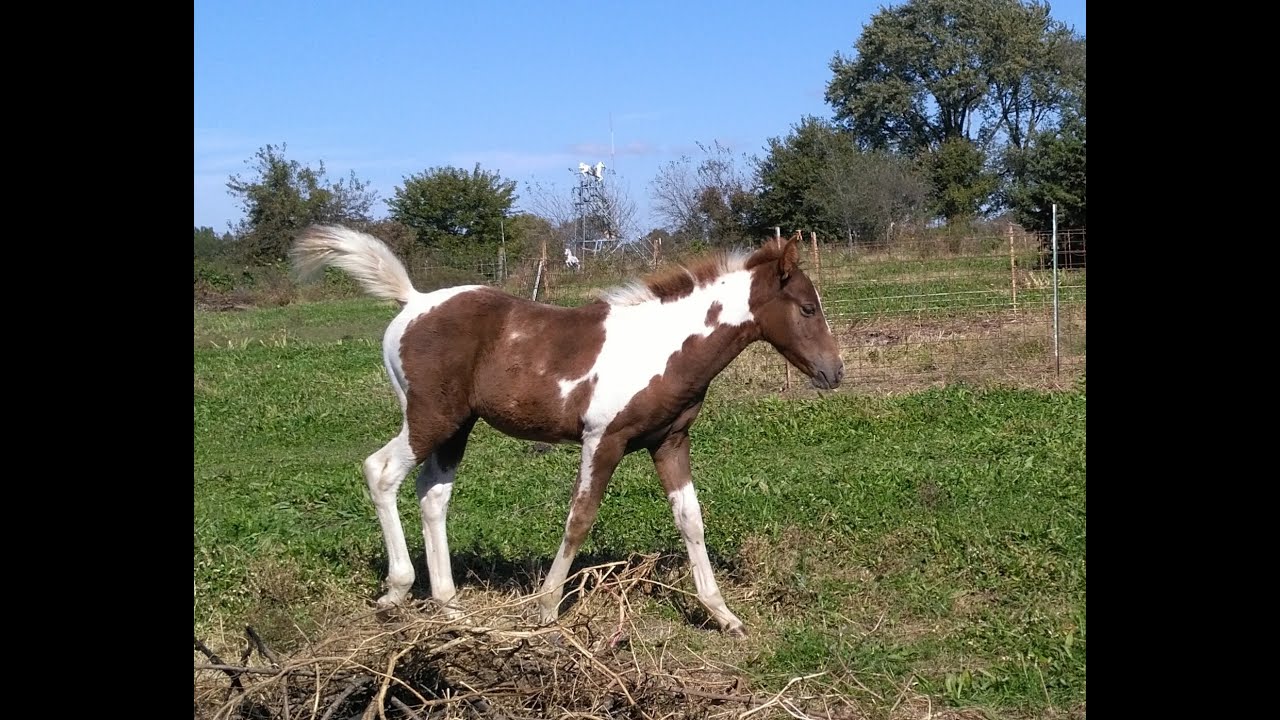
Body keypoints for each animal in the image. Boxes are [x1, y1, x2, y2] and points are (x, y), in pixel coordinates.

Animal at [290, 225, 844, 636]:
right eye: (808, 308)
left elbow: (691, 520)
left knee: (432, 494)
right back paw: (396, 590)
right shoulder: (604, 440)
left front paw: (723, 615)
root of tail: (412, 300)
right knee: (381, 471)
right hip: (430, 418)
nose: (834, 372)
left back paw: (451, 606)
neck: (664, 347)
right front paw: (546, 606)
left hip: (457, 426)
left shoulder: (669, 442)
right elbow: (580, 518)